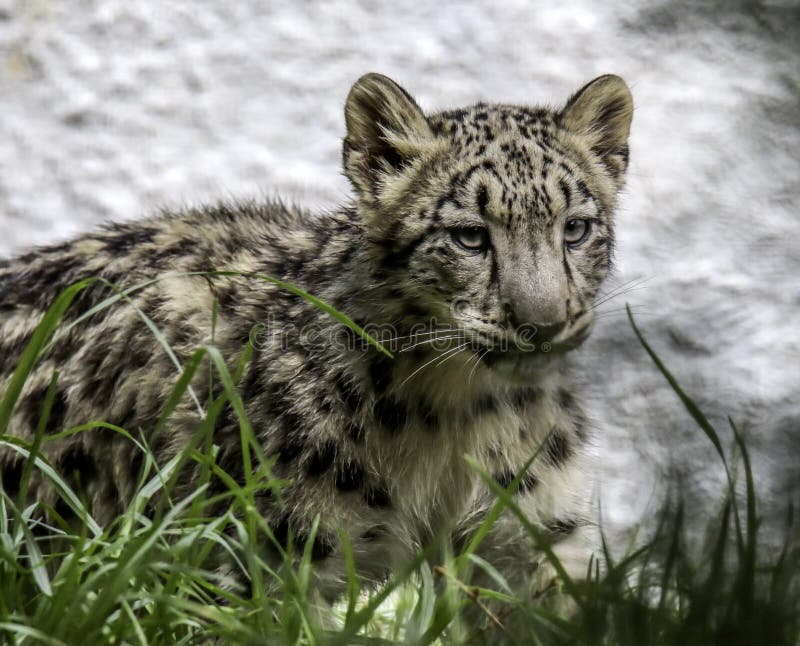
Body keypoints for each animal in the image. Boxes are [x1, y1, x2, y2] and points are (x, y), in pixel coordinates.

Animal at [0, 72, 633, 619]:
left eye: (576, 228)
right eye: (470, 236)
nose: (544, 322)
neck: (465, 417)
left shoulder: (533, 536)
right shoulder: (272, 555)